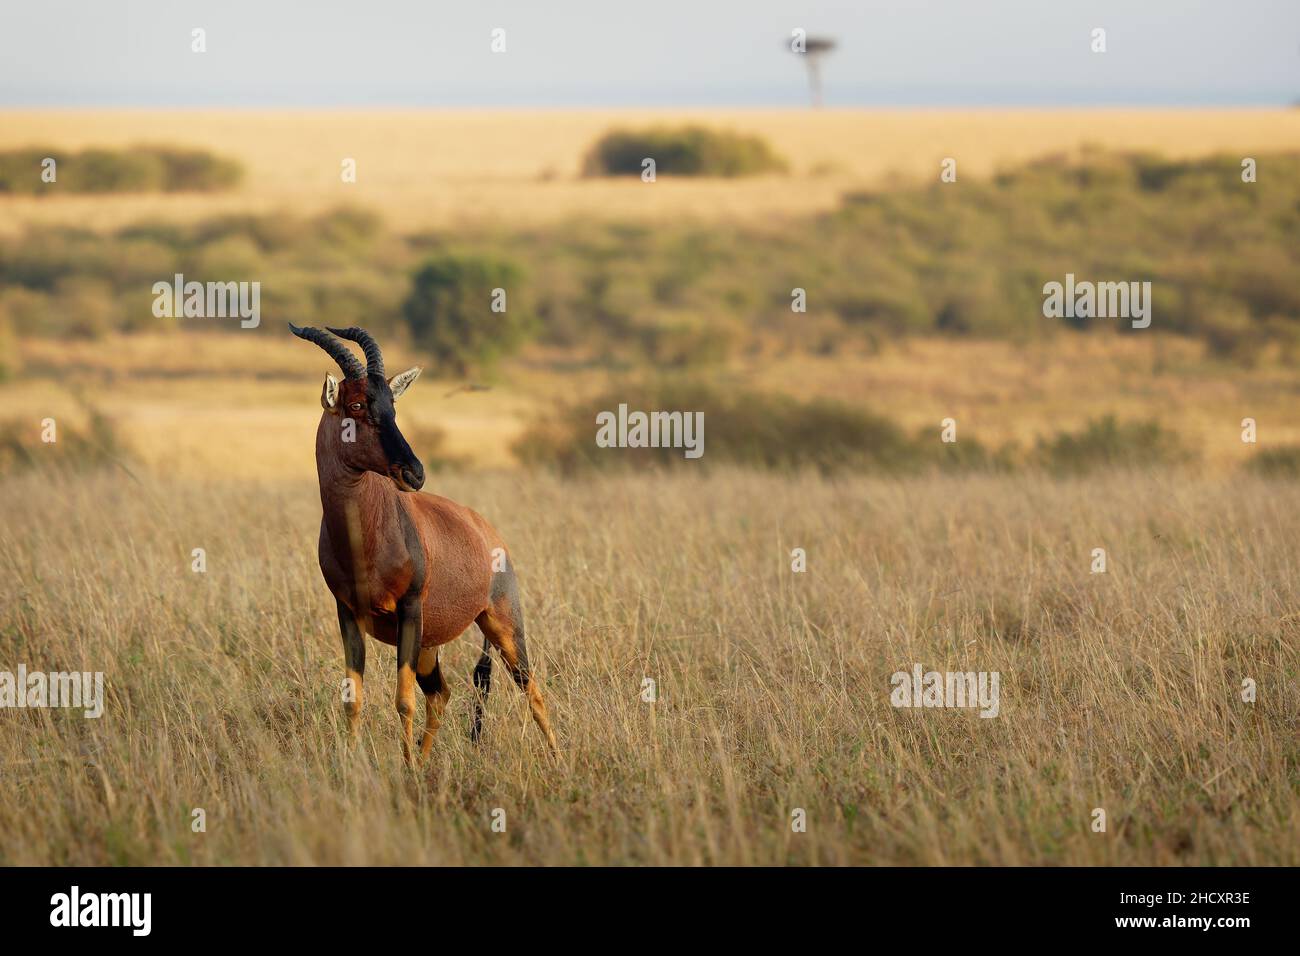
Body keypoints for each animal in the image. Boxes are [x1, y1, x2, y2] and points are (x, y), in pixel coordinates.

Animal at [289, 323, 558, 764]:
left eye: (393, 405)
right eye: (358, 404)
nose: (414, 472)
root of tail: (487, 531)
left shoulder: (409, 608)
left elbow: (403, 700)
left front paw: (406, 767)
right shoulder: (347, 613)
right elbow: (354, 698)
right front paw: (359, 764)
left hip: (501, 624)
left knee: (531, 688)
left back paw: (558, 758)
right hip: (430, 644)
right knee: (442, 694)